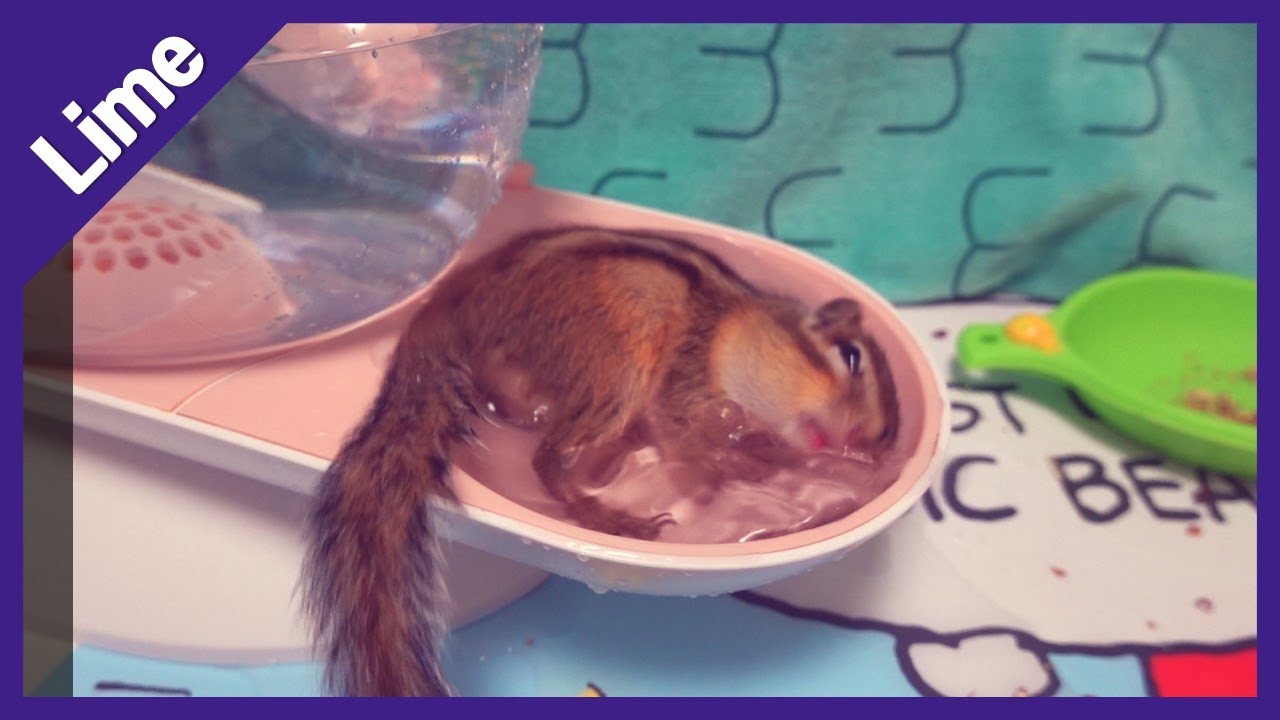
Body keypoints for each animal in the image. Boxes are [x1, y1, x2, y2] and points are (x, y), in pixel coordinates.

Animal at [303, 226, 900, 696]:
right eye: (851, 356)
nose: (864, 446)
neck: (734, 323)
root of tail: (448, 313)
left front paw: (762, 455)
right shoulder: (684, 379)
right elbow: (681, 435)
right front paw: (729, 467)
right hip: (616, 364)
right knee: (547, 459)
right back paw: (606, 514)